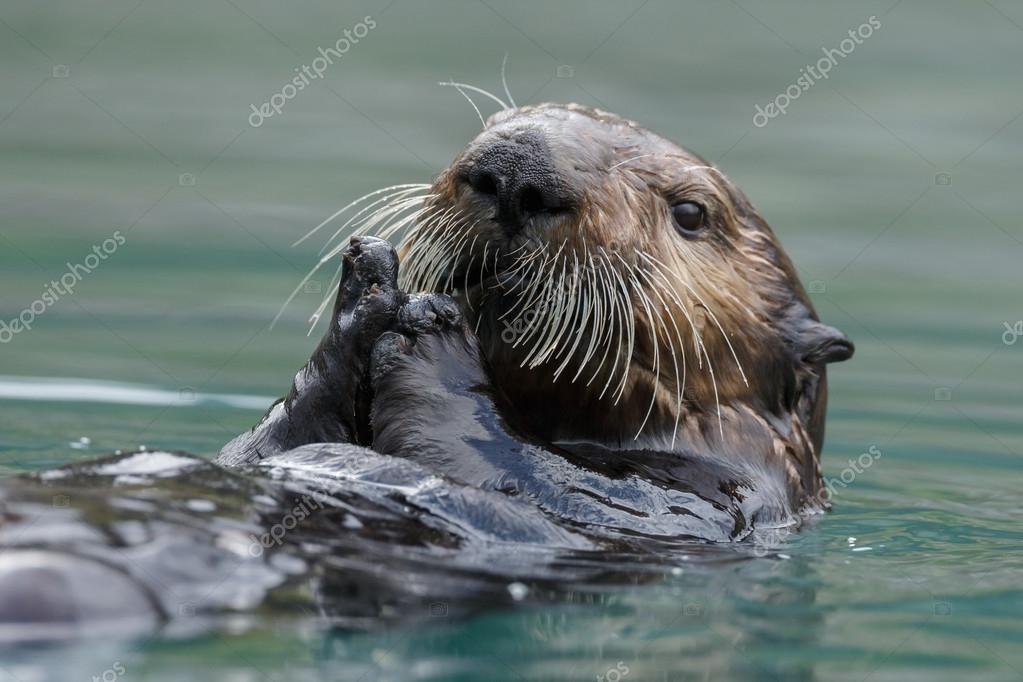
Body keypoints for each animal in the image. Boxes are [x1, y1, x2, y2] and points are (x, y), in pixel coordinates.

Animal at [0, 103, 851, 638]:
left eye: (691, 214)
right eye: (493, 126)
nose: (514, 168)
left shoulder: (679, 507)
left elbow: (502, 466)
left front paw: (433, 327)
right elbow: (272, 439)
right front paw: (366, 294)